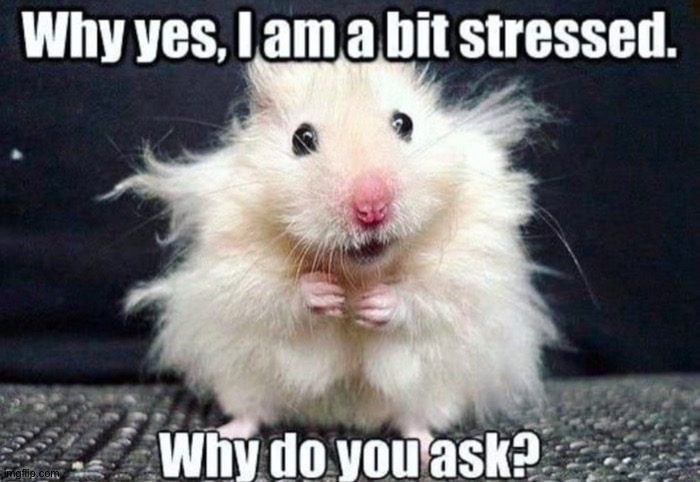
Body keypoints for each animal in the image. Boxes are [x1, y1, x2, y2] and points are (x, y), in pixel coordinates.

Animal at [110, 57, 556, 452]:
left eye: (404, 123)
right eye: (302, 139)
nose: (371, 206)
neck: (355, 274)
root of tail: (343, 415)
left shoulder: (471, 258)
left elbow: (430, 291)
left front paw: (373, 304)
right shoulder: (231, 259)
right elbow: (269, 292)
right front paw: (326, 295)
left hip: (435, 386)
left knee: (414, 418)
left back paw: (427, 448)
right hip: (240, 375)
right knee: (252, 412)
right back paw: (225, 434)